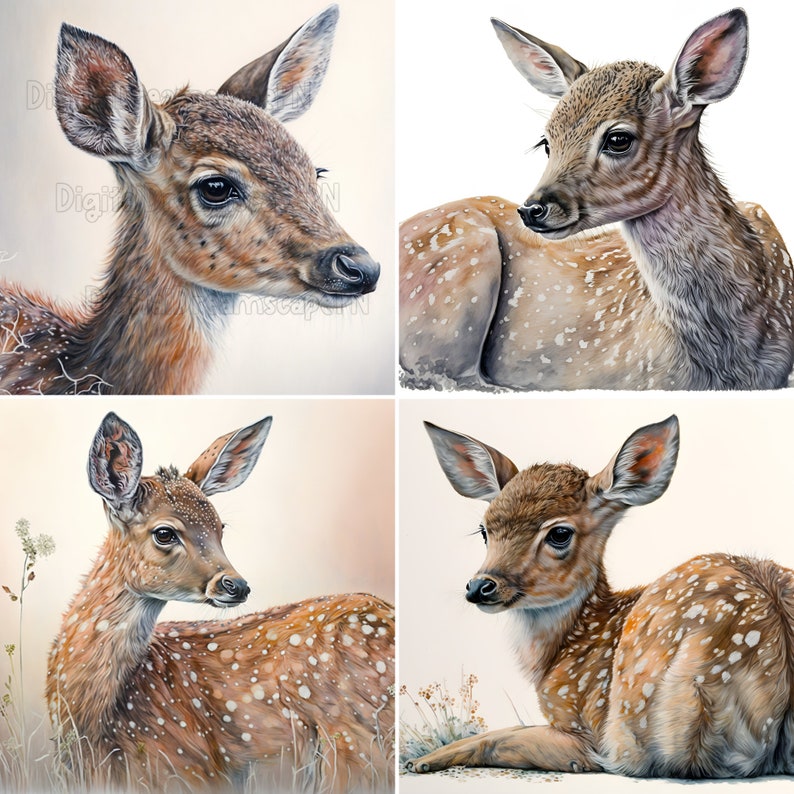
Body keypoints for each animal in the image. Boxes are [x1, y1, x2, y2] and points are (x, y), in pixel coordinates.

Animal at [409, 414, 794, 779]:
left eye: (559, 534)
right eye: (484, 531)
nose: (480, 586)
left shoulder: (585, 737)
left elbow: (499, 737)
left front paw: (423, 761)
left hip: (643, 728)